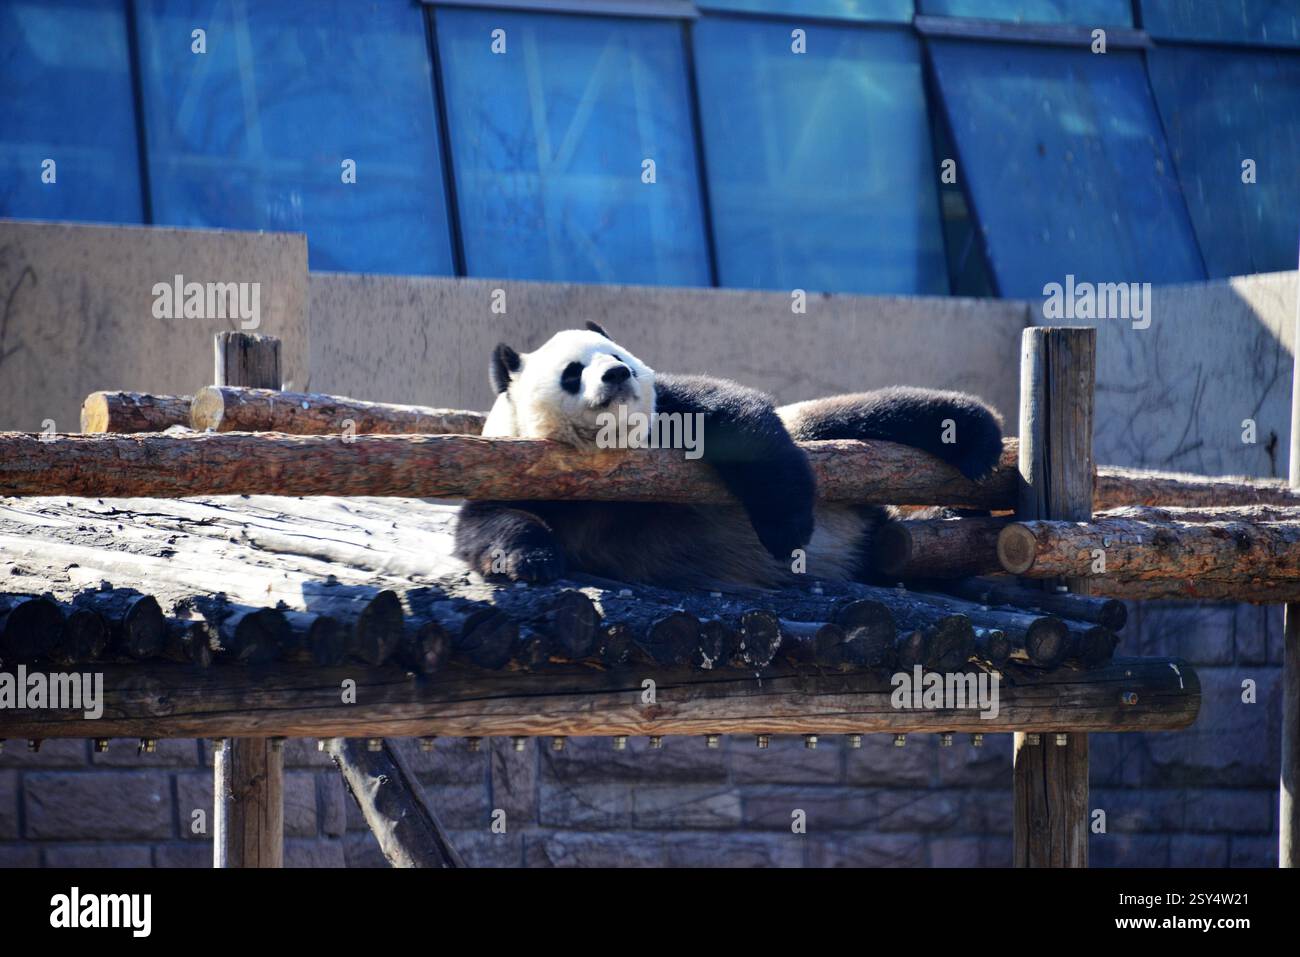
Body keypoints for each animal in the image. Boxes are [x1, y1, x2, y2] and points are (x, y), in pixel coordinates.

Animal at [454, 322, 1003, 590]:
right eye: (572, 372)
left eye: (619, 357)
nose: (616, 375)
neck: (610, 453)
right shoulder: (520, 467)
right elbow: (485, 524)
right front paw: (533, 559)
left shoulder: (670, 412)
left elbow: (736, 415)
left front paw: (786, 530)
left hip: (828, 447)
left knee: (863, 415)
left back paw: (973, 440)